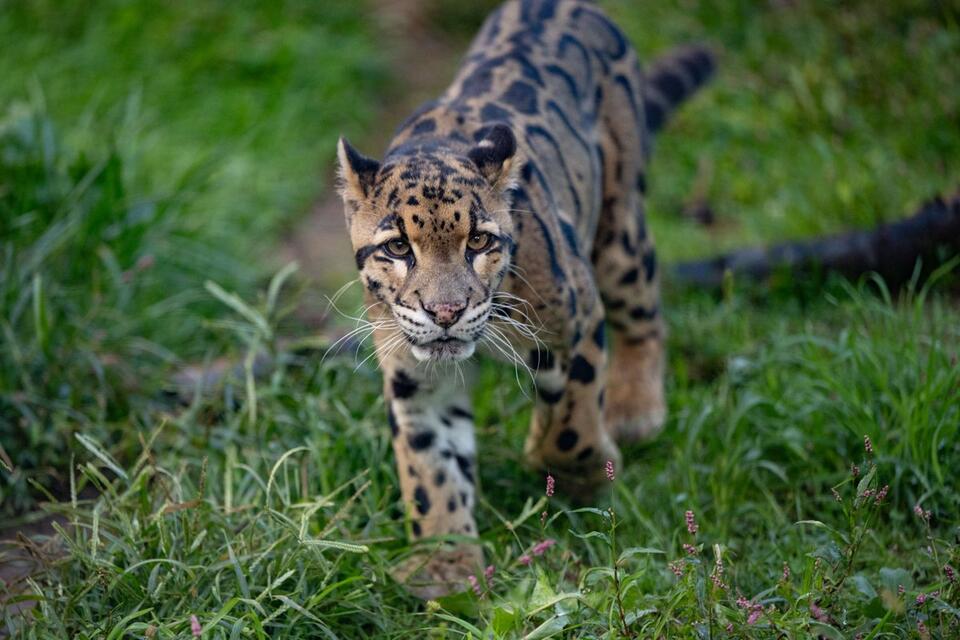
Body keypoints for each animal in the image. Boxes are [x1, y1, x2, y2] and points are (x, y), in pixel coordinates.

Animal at [336, 0, 714, 598]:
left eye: (478, 242)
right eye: (397, 247)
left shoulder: (578, 316)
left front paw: (585, 469)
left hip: (618, 233)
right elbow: (430, 468)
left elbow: (569, 424)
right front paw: (446, 562)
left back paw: (635, 409)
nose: (446, 312)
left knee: (644, 311)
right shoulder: (415, 376)